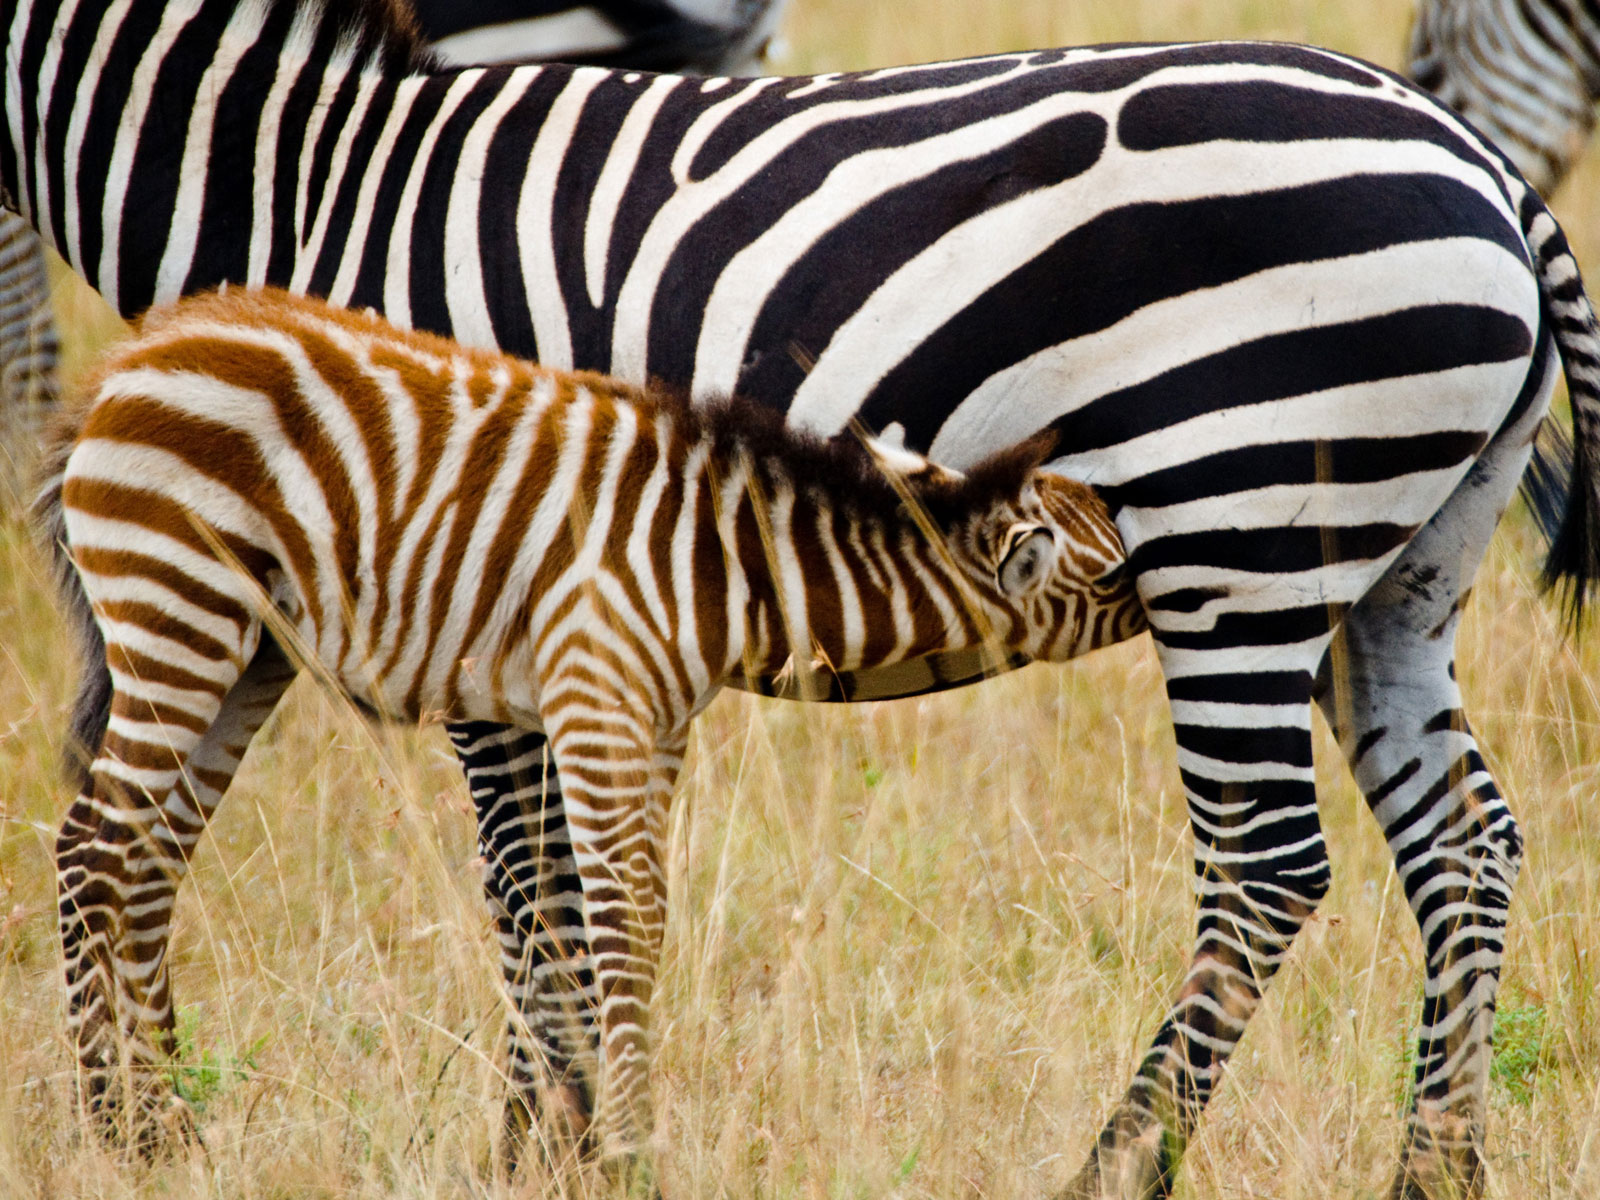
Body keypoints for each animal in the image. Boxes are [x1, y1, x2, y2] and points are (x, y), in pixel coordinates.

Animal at [36, 283, 1142, 1165]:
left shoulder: (655, 722)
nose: (1183, 582)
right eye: (1117, 576)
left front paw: (605, 1139)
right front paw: (630, 1151)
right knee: (95, 848)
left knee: (150, 860)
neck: (728, 565)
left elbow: (643, 921)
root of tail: (130, 361)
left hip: (244, 654)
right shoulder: (595, 696)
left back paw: (175, 1129)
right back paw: (114, 1132)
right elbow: (618, 915)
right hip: (176, 608)